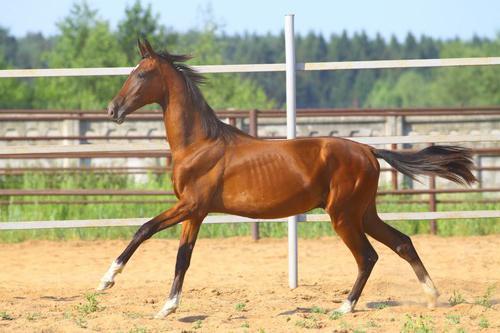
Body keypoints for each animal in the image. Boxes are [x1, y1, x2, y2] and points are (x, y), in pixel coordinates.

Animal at [98, 38, 476, 316]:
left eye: (141, 75)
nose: (112, 110)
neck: (200, 144)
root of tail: (368, 150)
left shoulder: (191, 205)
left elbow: (144, 229)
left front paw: (107, 280)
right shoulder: (196, 211)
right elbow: (183, 257)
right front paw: (168, 307)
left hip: (343, 215)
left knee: (368, 256)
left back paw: (345, 307)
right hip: (364, 213)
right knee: (402, 243)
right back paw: (432, 296)